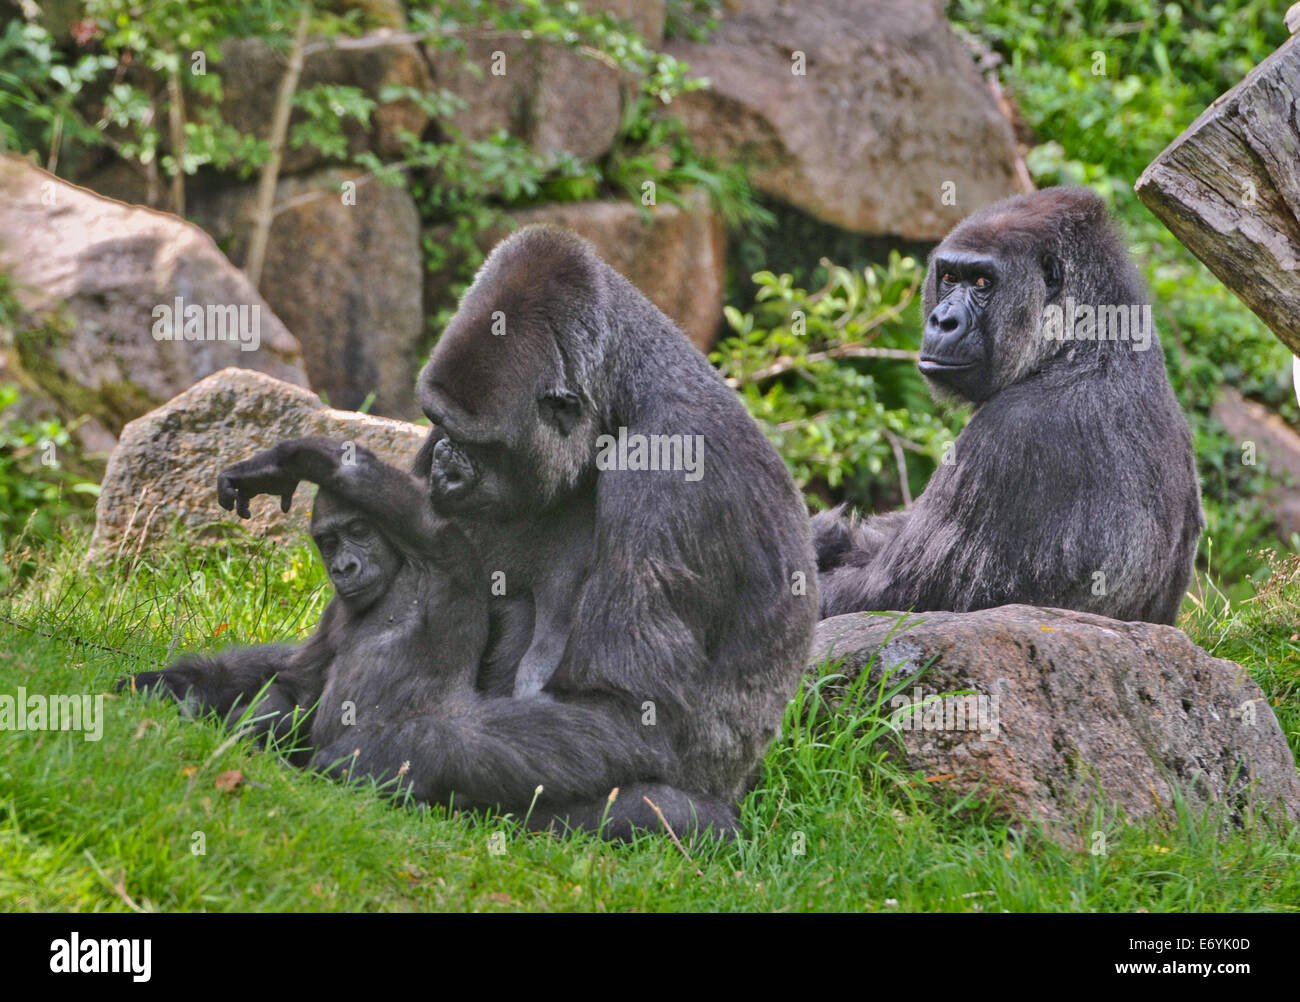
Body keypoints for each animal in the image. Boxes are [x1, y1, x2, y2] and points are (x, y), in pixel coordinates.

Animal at [209, 224, 820, 840]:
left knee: (661, 811)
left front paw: (385, 753)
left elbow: (625, 712)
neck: (619, 404)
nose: (446, 465)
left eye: (476, 444)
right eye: (439, 425)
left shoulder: (671, 471)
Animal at [812, 186, 1204, 626]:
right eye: (949, 277)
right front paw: (828, 532)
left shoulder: (1010, 434)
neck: (1082, 343)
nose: (942, 321)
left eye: (983, 282)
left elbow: (882, 595)